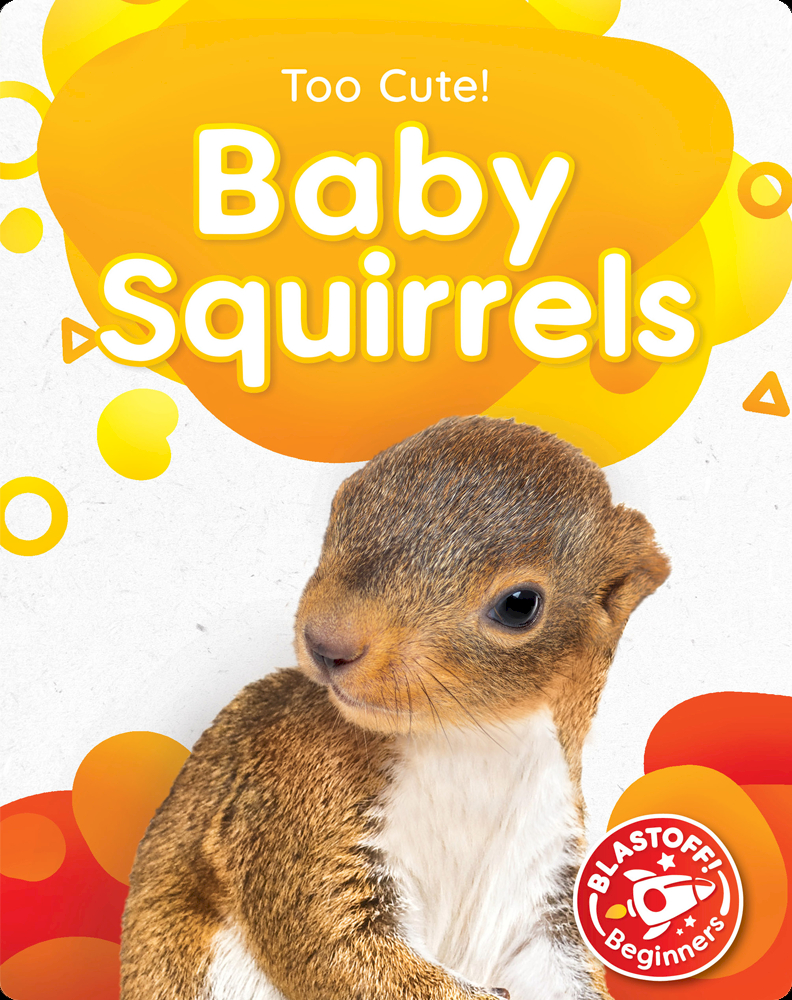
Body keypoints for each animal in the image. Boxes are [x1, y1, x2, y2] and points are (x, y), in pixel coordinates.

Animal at [121, 415, 670, 1000]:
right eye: (343, 506)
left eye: (520, 605)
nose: (327, 641)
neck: (472, 746)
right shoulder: (291, 807)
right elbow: (332, 944)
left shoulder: (543, 877)